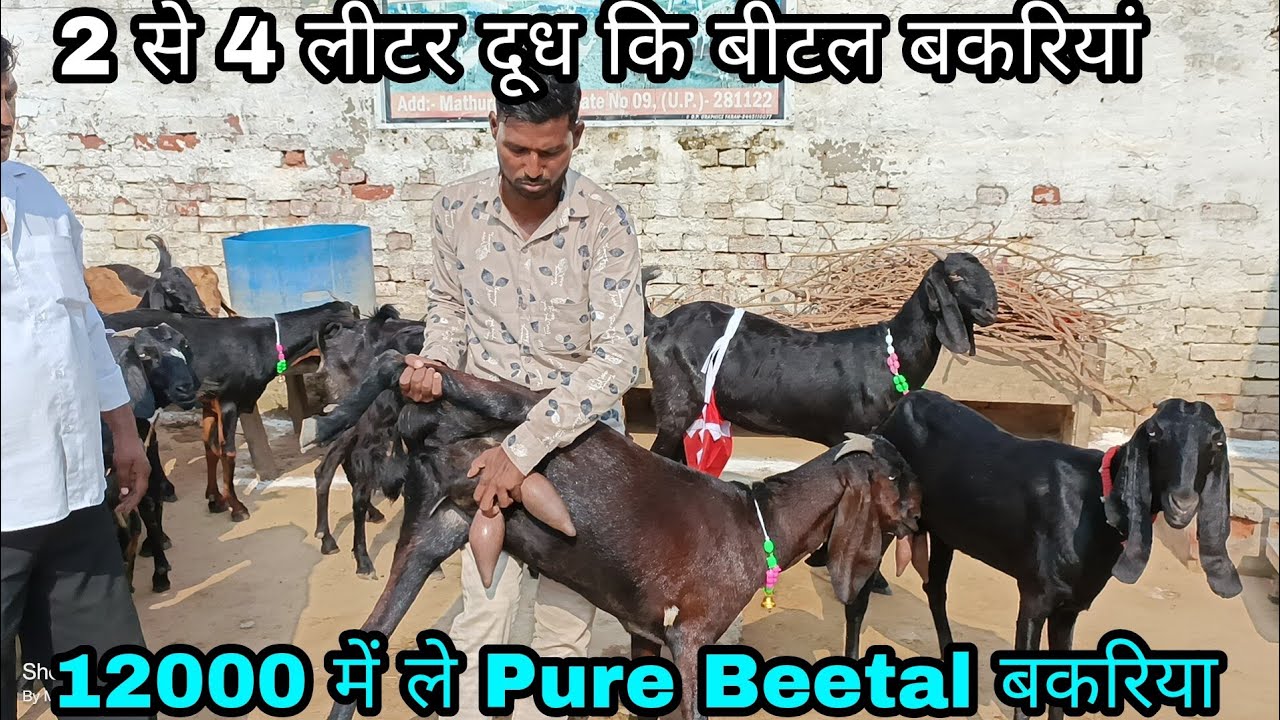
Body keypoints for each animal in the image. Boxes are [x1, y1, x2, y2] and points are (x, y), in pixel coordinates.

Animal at [103, 301, 361, 522]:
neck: (263, 342)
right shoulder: (229, 401)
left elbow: (210, 447)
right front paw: (236, 506)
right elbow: (227, 452)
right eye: (355, 324)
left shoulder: (210, 403)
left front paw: (214, 499)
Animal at [299, 350, 923, 720]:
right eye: (898, 479)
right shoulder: (692, 640)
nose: (920, 518)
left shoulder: (646, 633)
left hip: (437, 531)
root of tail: (430, 425)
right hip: (503, 401)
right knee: (399, 360)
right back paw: (325, 420)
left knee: (373, 633)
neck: (760, 518)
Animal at [848, 389, 1242, 720]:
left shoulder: (1069, 607)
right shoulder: (1036, 596)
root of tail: (902, 405)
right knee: (860, 591)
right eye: (1155, 434)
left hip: (947, 531)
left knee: (935, 589)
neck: (1094, 501)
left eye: (1216, 439)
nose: (1182, 503)